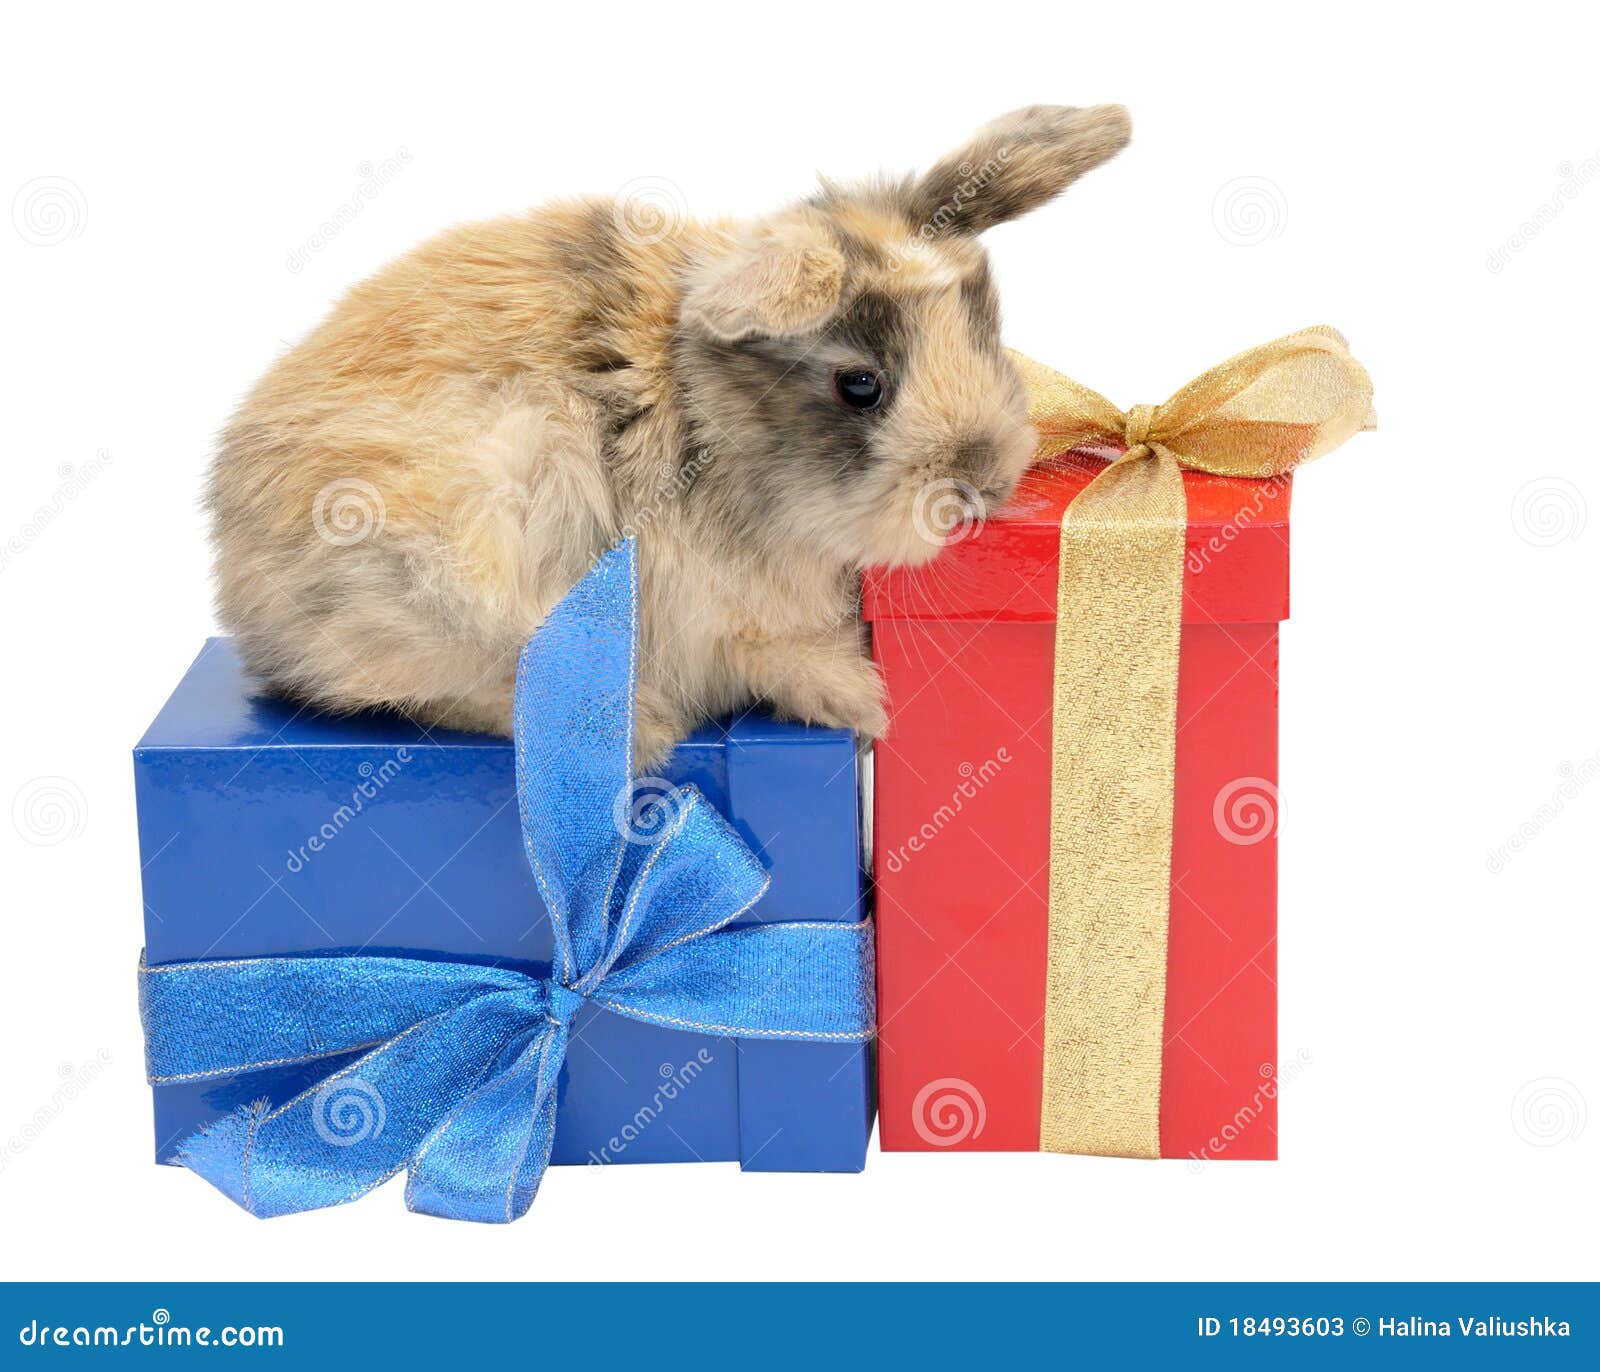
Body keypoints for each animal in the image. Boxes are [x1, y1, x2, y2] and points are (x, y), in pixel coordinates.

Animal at [207, 104, 1130, 769]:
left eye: (985, 332)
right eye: (860, 385)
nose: (984, 481)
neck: (709, 421)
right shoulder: (712, 615)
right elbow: (775, 653)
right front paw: (859, 700)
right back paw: (638, 734)